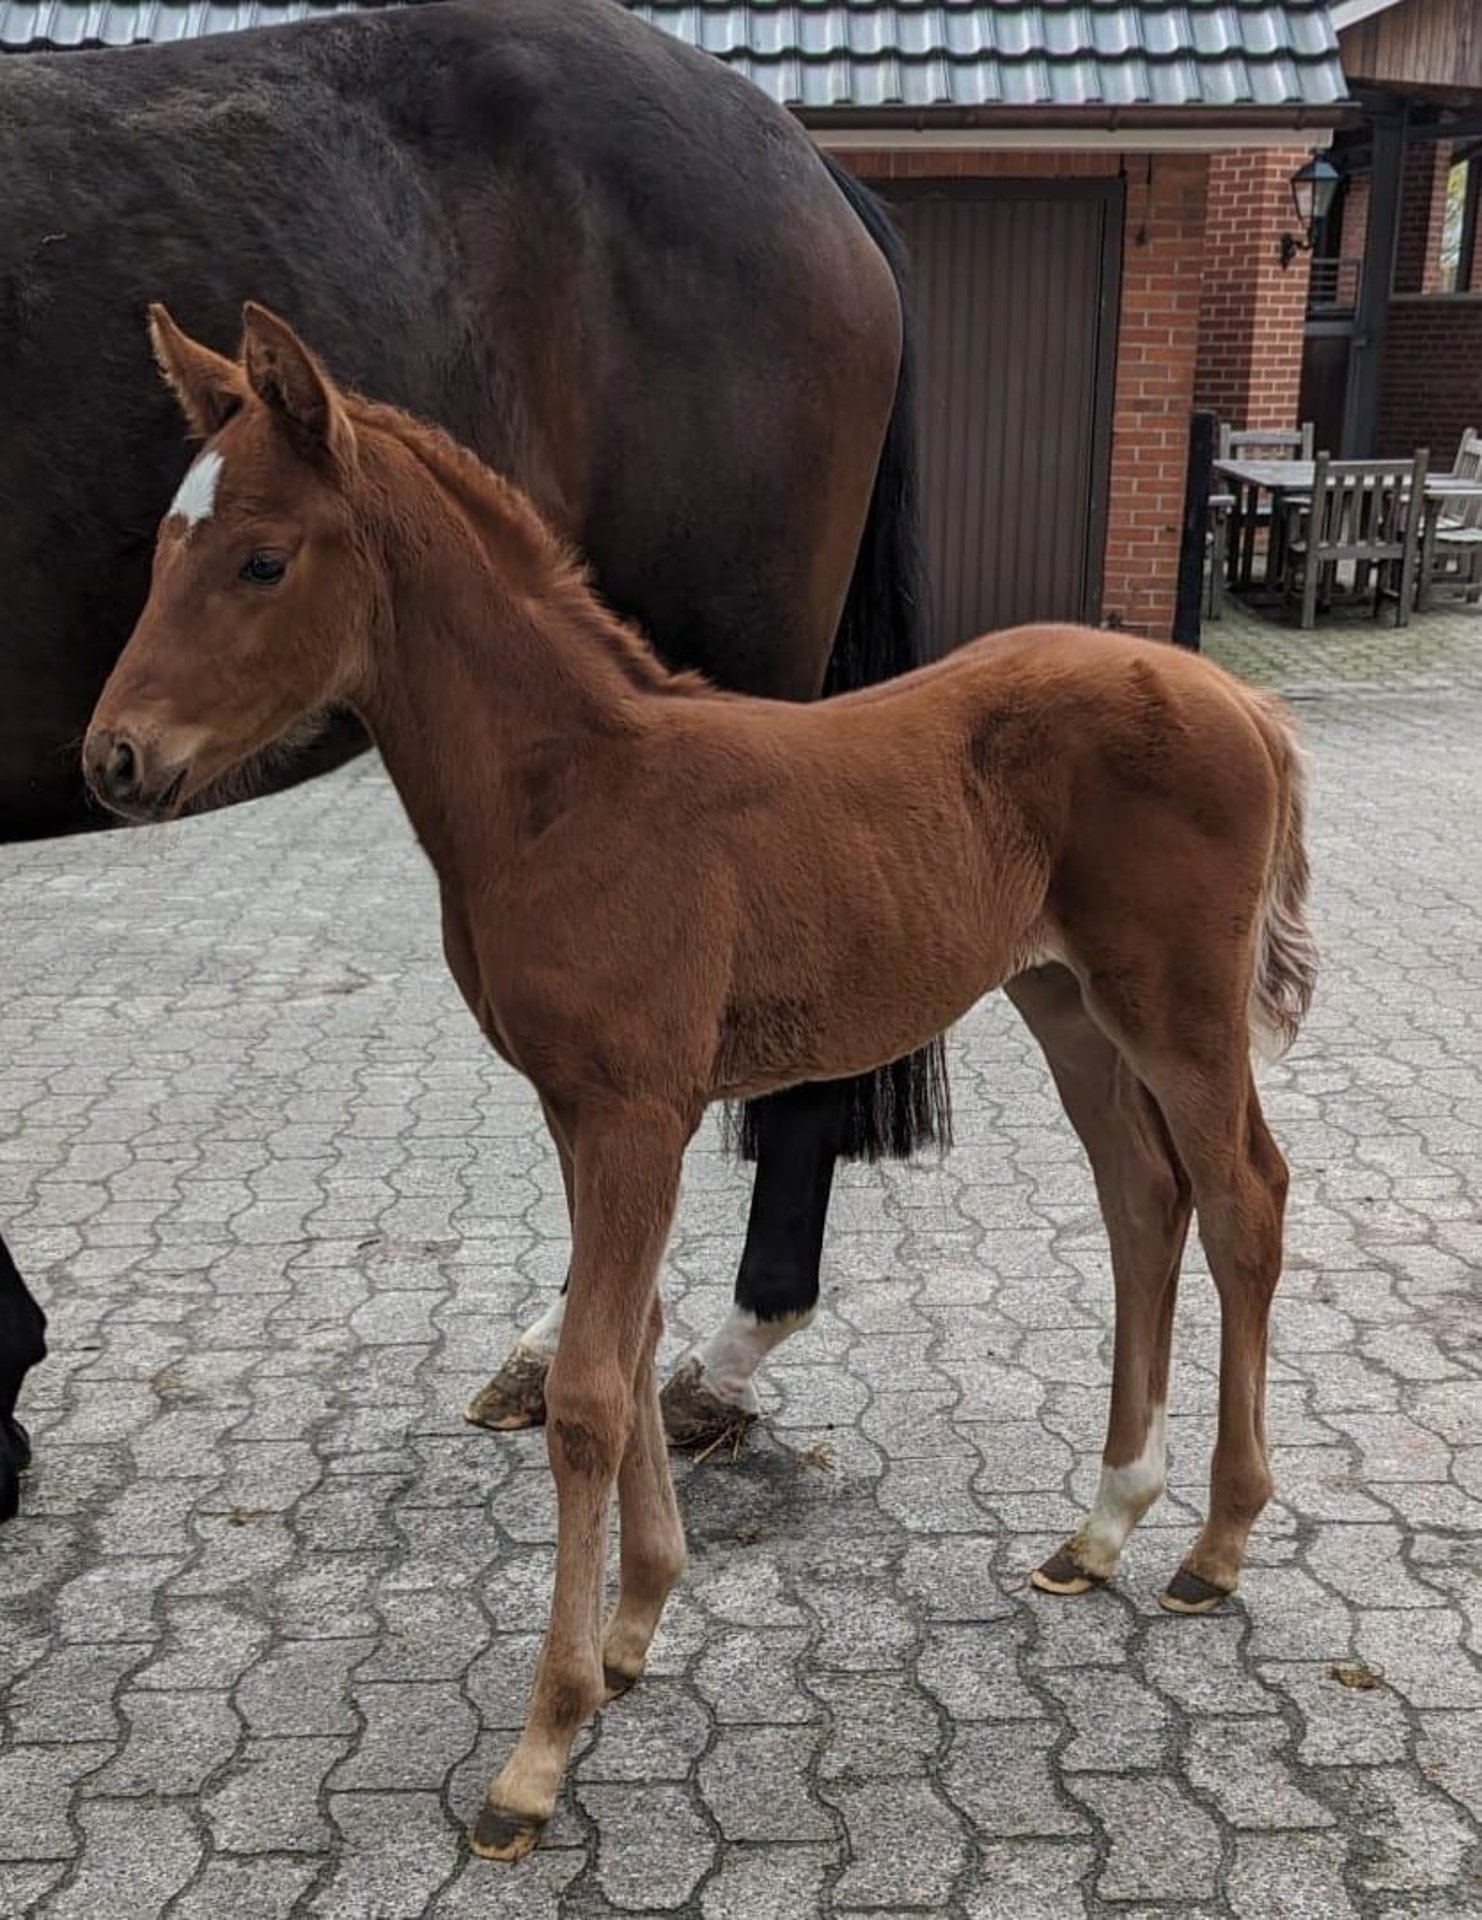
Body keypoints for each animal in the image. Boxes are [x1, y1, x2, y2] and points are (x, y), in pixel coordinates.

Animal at [84, 302, 1316, 1860]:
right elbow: (628, 1334)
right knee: (1144, 1204)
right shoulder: (582, 1108)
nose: (115, 759)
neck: (569, 794)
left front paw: (539, 1747)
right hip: (1067, 1004)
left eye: (259, 558)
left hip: (1177, 1008)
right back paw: (1098, 1530)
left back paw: (1213, 1545)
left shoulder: (633, 1111)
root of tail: (1237, 696)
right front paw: (630, 1634)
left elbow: (588, 1393)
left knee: (1243, 1202)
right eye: (162, 547)